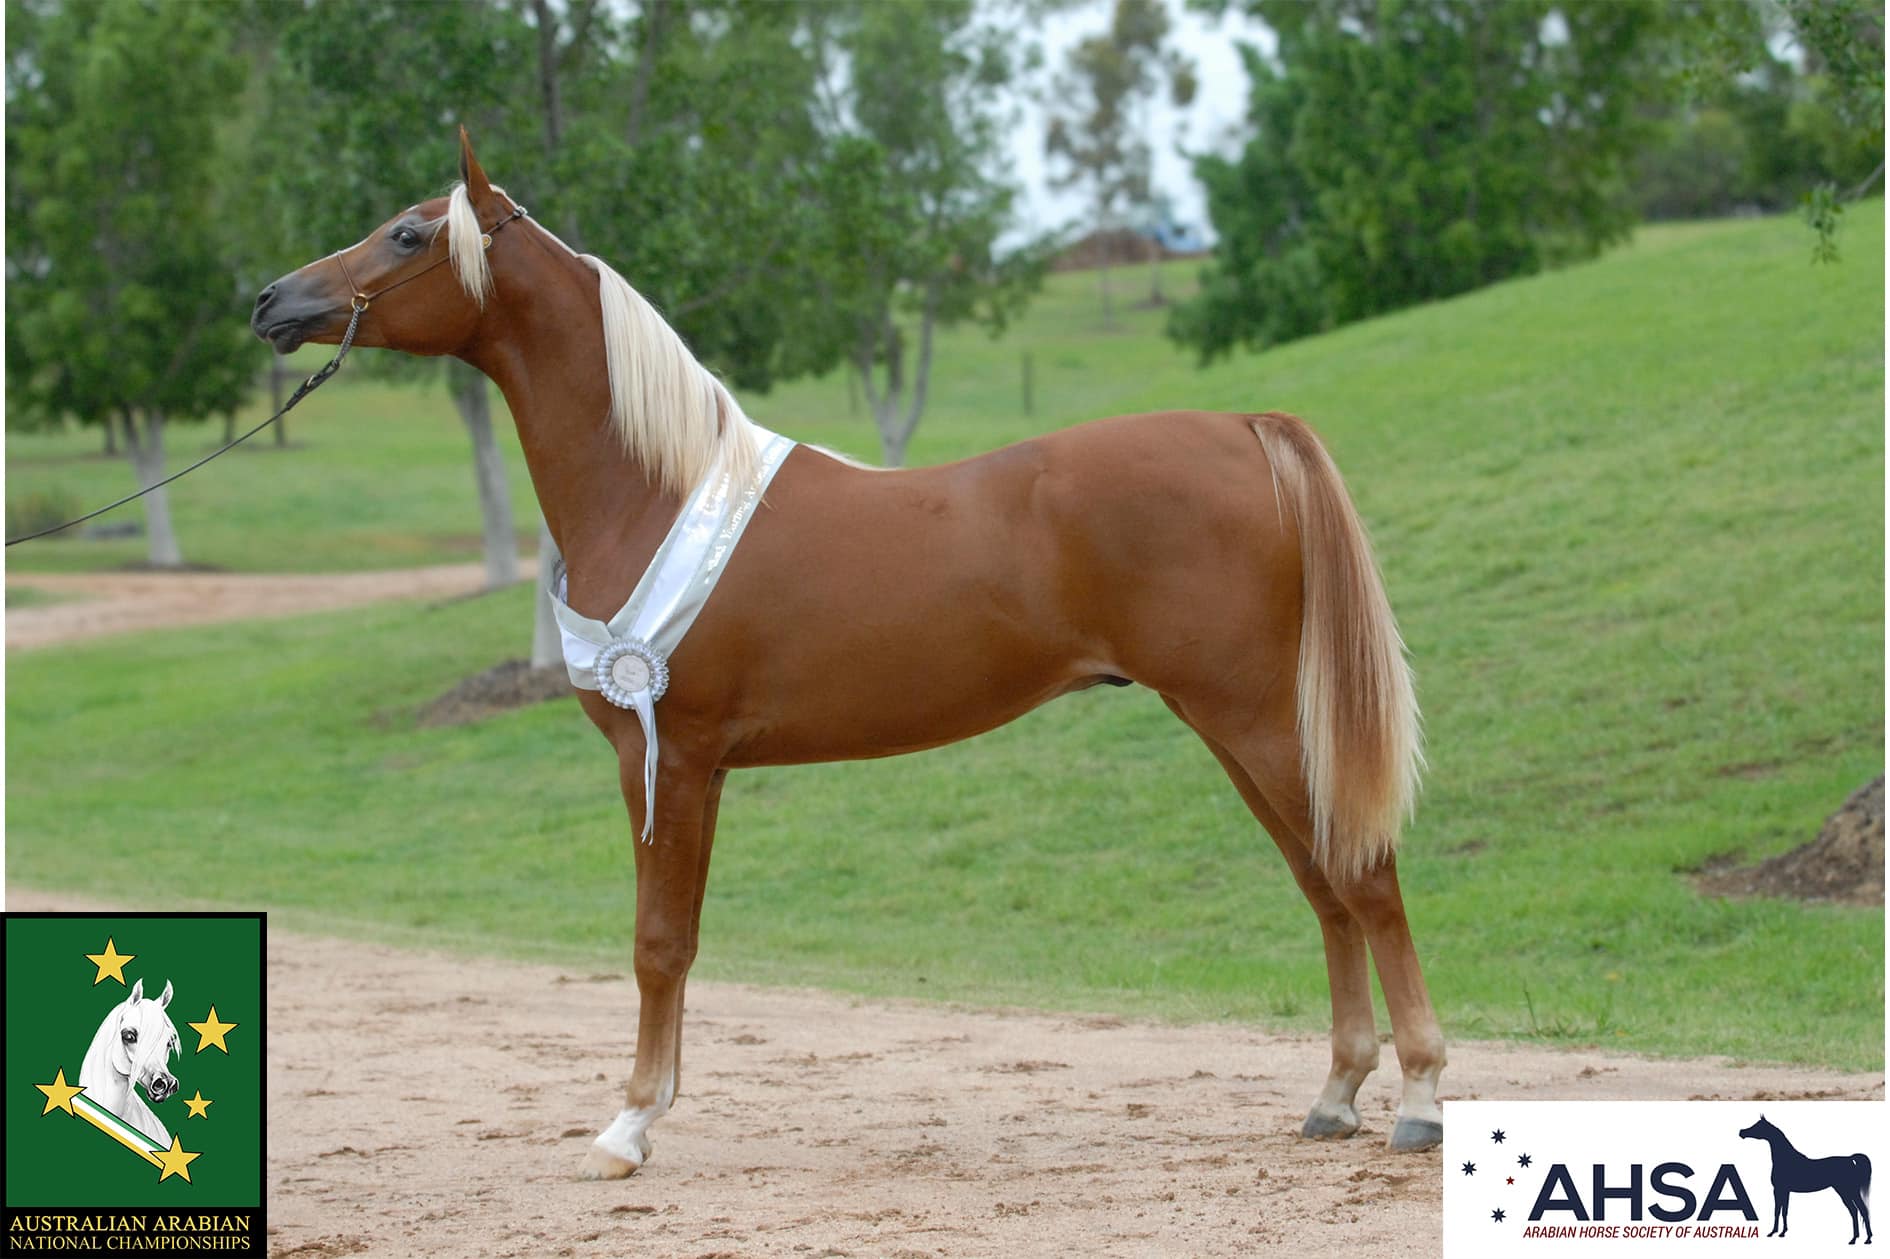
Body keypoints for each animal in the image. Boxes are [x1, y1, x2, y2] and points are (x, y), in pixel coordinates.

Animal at [251, 130, 1445, 1179]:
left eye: (408, 233)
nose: (271, 300)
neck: (653, 488)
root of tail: (1247, 426)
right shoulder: (702, 769)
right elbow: (682, 937)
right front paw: (655, 1106)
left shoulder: (664, 755)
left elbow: (655, 942)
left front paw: (627, 1126)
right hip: (1232, 727)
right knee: (1322, 882)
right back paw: (1335, 1095)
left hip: (1255, 716)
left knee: (1365, 878)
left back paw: (1421, 1102)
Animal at [1740, 1115, 1874, 1245]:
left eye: (1758, 1126)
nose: (1741, 1132)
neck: (1785, 1160)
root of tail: (1850, 1159)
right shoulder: (1786, 1191)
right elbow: (1784, 1210)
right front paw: (1782, 1232)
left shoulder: (1779, 1190)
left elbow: (1777, 1210)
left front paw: (1774, 1232)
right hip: (1848, 1192)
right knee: (1858, 1211)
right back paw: (1860, 1238)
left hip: (1847, 1191)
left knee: (1858, 1210)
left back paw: (1861, 1239)